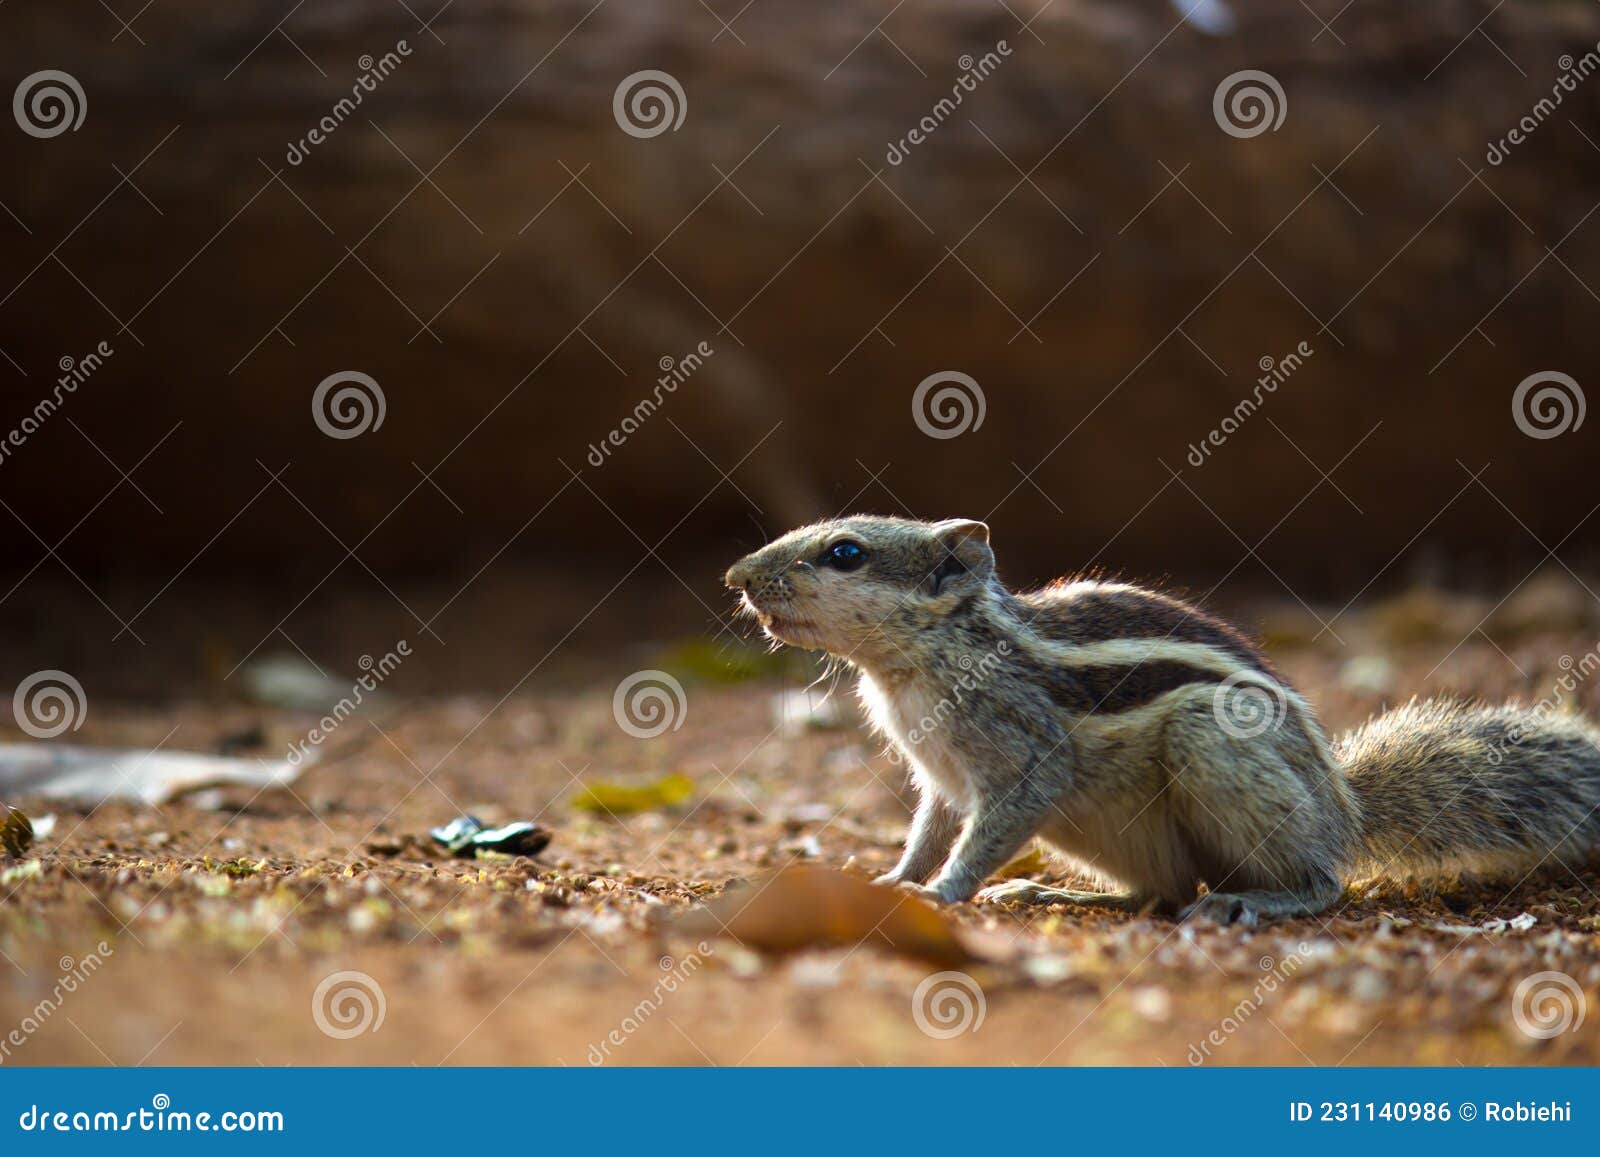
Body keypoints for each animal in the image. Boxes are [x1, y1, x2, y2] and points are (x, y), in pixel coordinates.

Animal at [724, 515, 1600, 924]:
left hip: (1211, 743)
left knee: (1317, 881)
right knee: (1161, 890)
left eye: (845, 552)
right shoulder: (939, 778)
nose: (736, 575)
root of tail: (1345, 809)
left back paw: (1260, 902)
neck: (918, 662)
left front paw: (943, 893)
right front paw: (892, 880)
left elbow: (982, 831)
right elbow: (928, 829)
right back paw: (1061, 894)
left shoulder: (1024, 755)